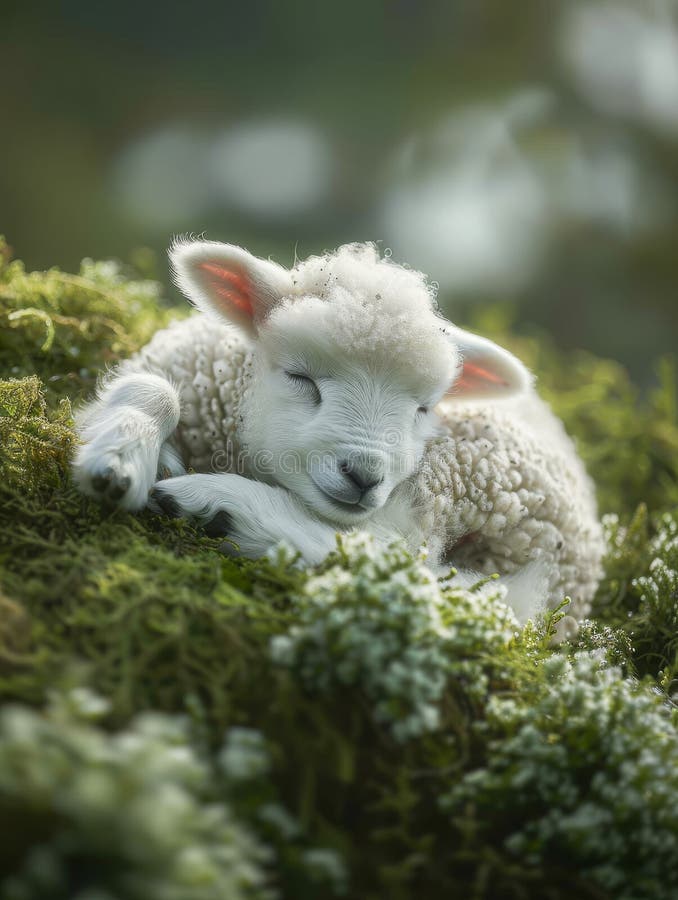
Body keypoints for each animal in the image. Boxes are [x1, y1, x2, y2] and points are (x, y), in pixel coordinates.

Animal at [73, 240, 604, 621]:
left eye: (424, 409)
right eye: (301, 377)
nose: (364, 476)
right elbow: (152, 390)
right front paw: (120, 459)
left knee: (392, 556)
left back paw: (223, 508)